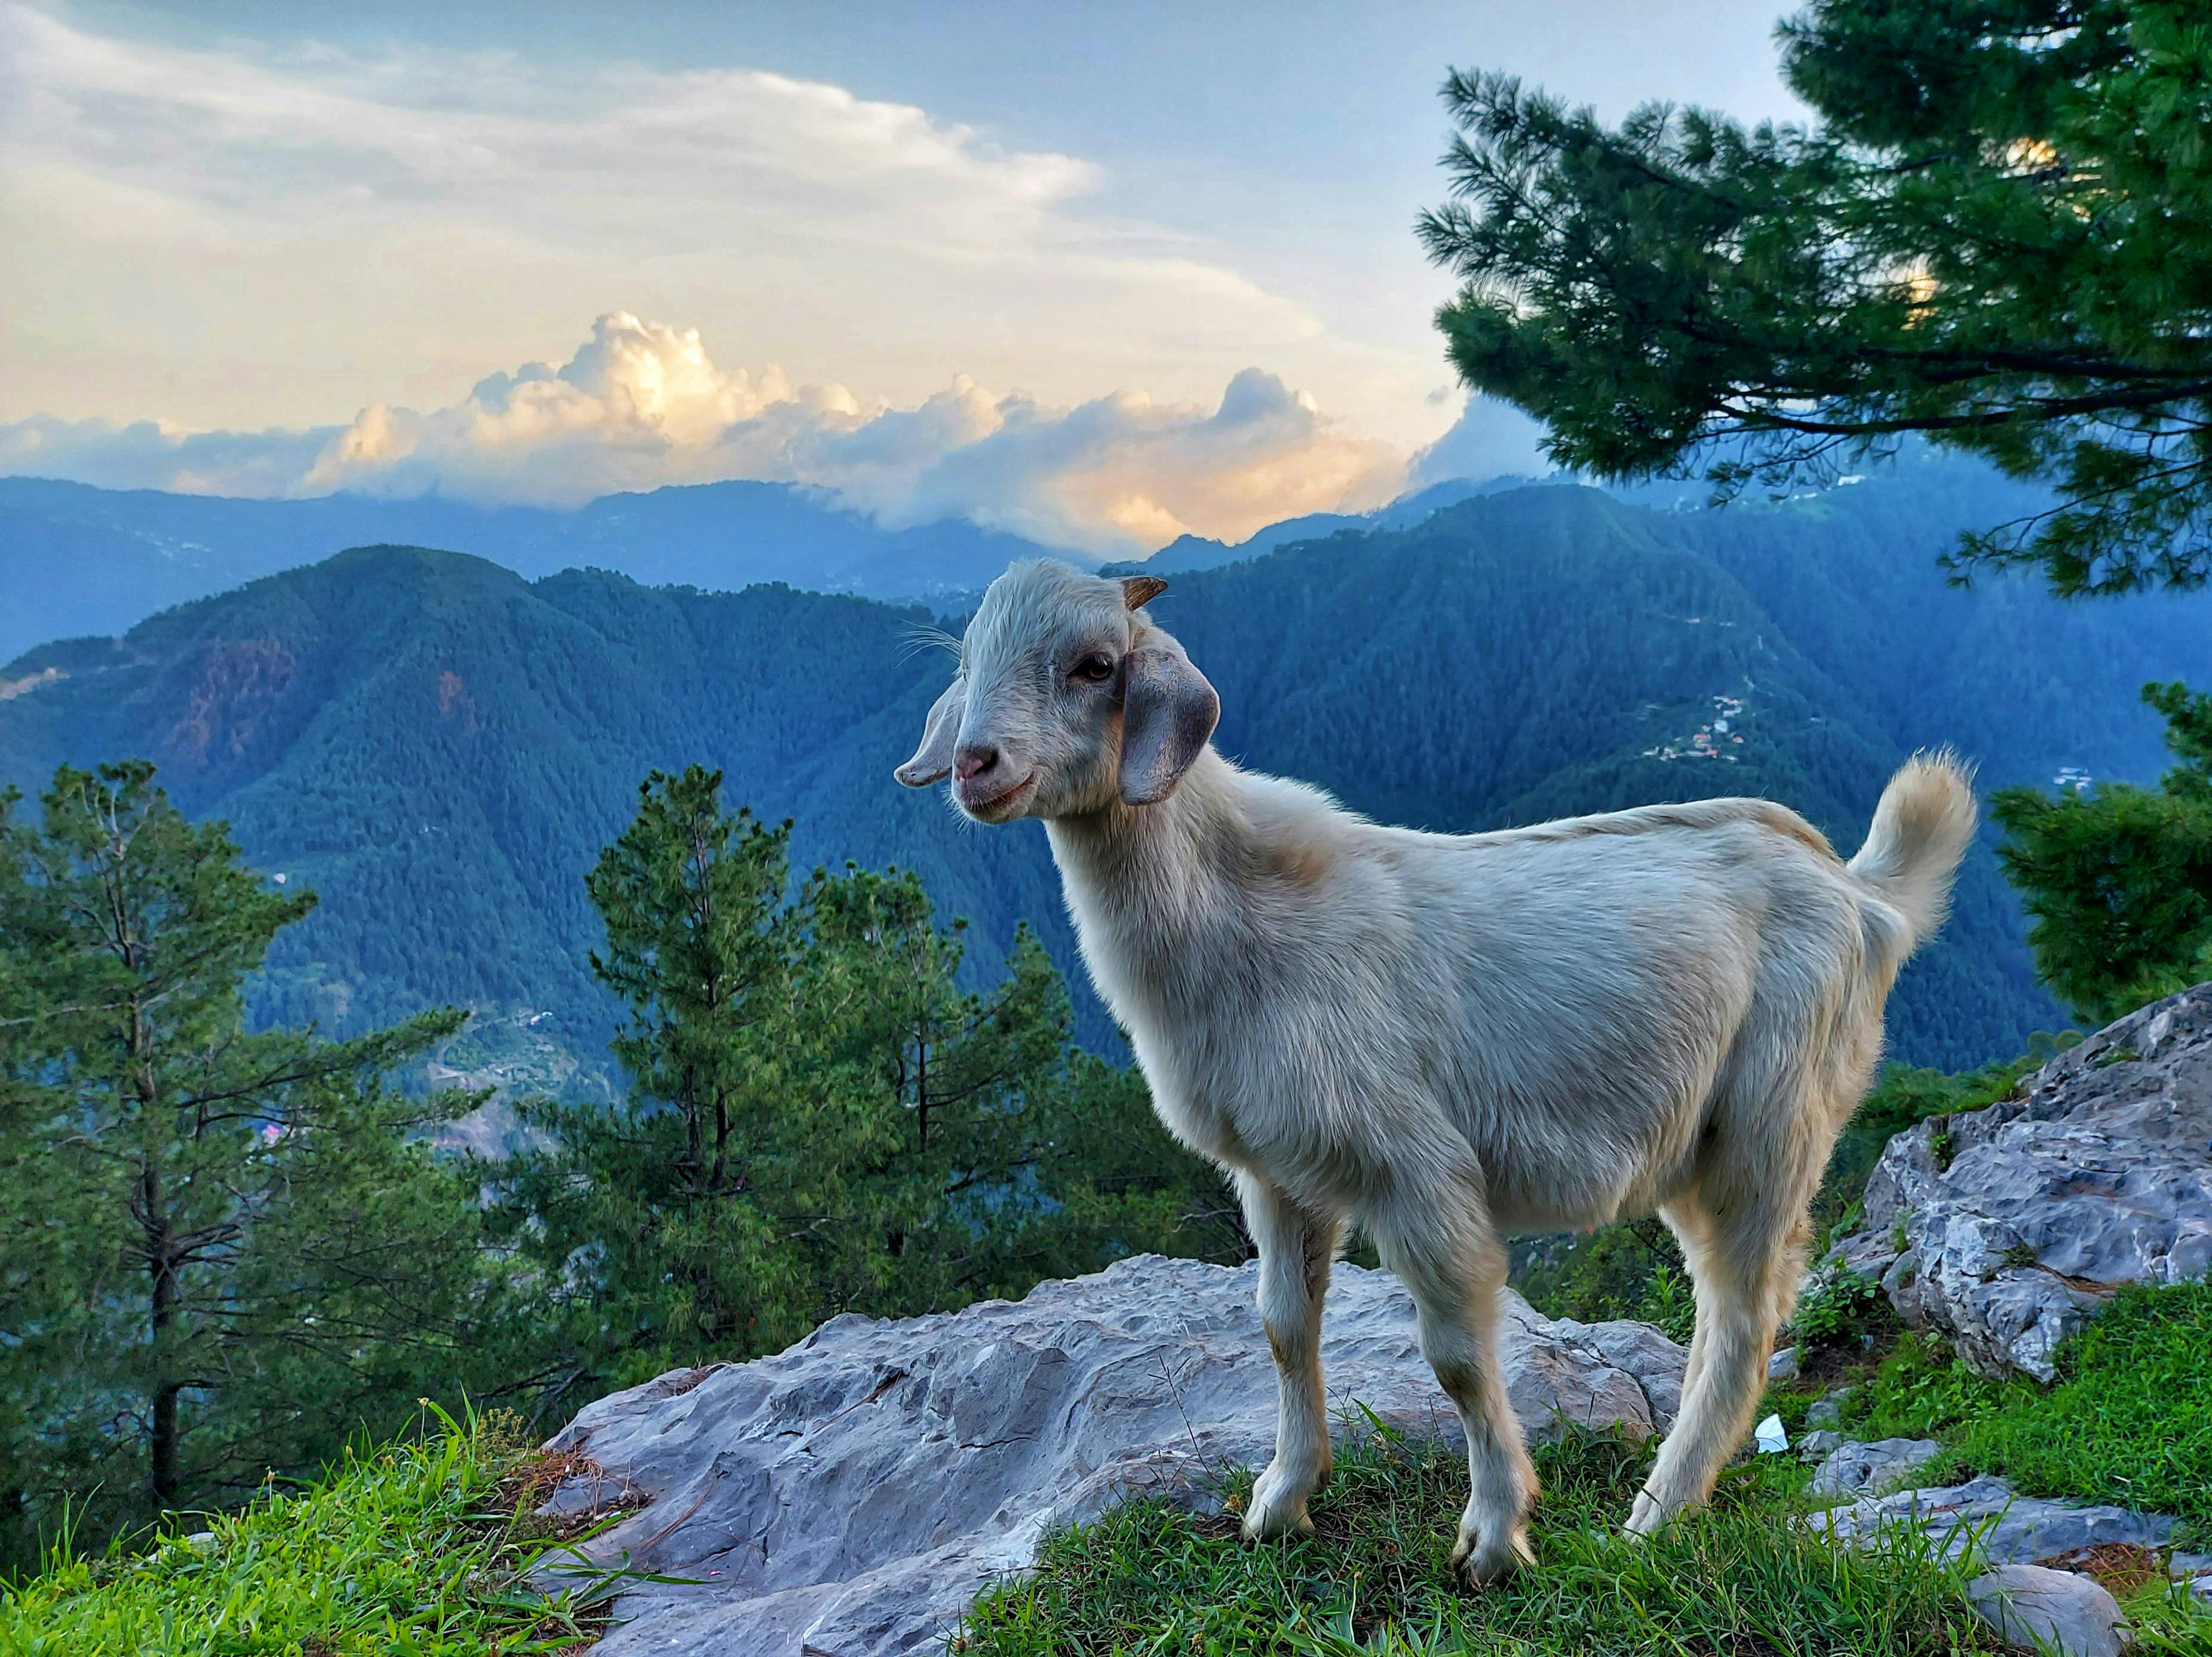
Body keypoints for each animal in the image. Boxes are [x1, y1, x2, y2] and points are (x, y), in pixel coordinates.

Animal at [894, 559, 1975, 1584]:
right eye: (966, 661)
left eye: (1093, 664)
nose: (975, 764)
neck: (1238, 911)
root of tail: (1860, 892)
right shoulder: (1275, 1170)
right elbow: (1283, 1325)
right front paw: (1279, 1502)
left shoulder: (1414, 1165)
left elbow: (1454, 1355)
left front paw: (1494, 1537)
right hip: (1698, 1140)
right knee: (1719, 1305)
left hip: (1775, 1115)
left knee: (1746, 1312)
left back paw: (1654, 1516)